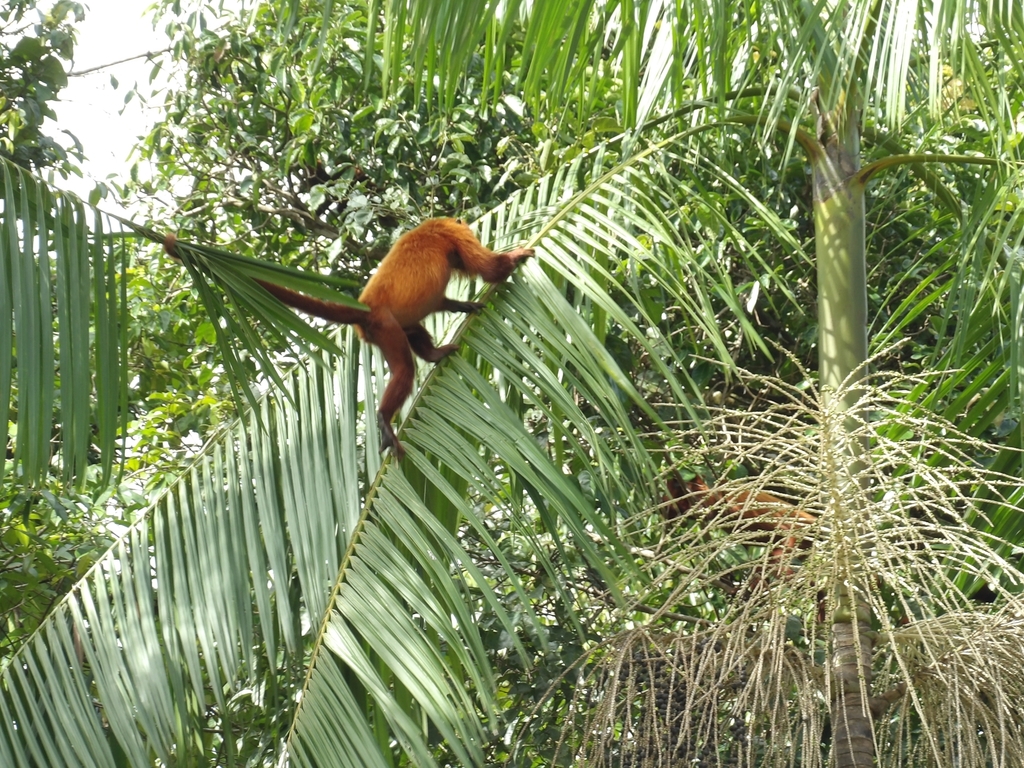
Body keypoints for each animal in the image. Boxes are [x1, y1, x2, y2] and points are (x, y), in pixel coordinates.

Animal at [164, 218, 534, 460]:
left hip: (386, 329)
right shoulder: (454, 233)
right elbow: (488, 267)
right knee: (404, 369)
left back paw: (433, 355)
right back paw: (385, 417)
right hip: (385, 328)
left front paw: (461, 305)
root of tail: (367, 311)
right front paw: (516, 257)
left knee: (414, 332)